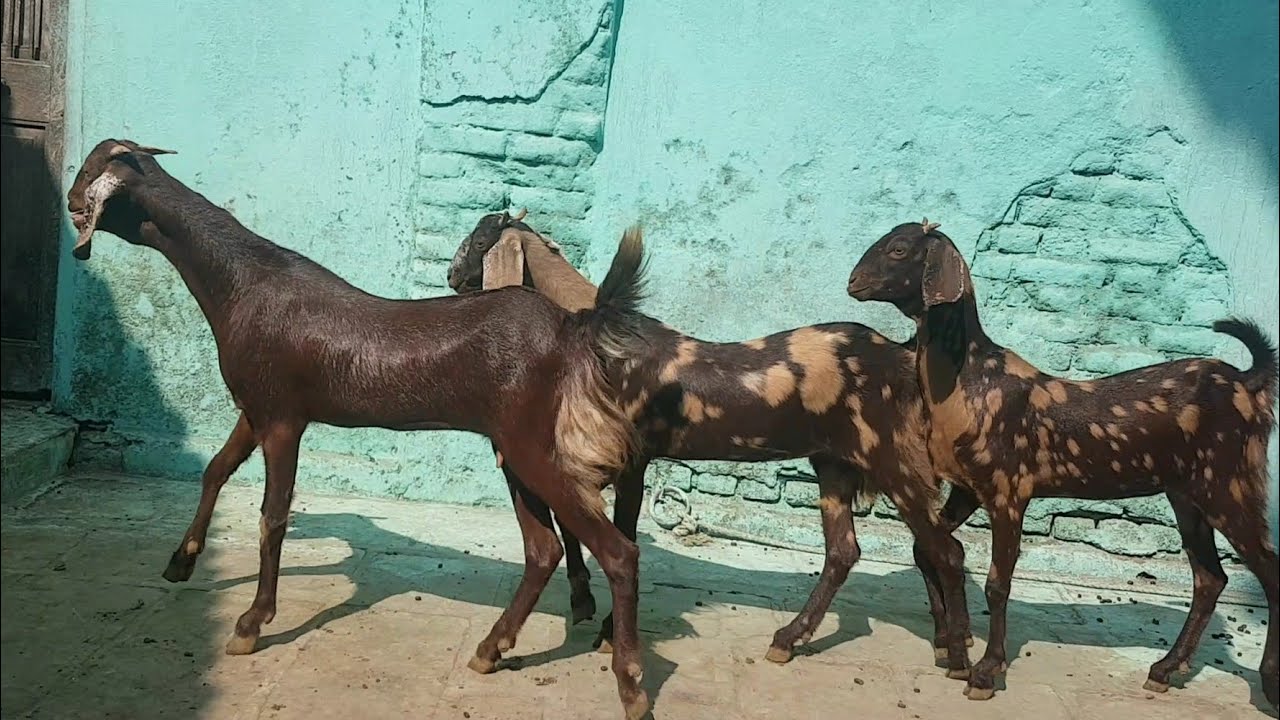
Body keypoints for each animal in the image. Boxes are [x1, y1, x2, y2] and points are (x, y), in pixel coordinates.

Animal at [66, 140, 653, 719]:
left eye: (91, 172)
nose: (70, 202)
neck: (243, 284)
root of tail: (572, 329)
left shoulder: (283, 419)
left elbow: (272, 516)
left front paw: (253, 622)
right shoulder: (254, 409)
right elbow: (214, 470)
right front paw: (181, 561)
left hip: (534, 446)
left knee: (617, 552)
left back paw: (631, 687)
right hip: (515, 450)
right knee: (544, 549)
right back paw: (491, 649)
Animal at [447, 211, 980, 676]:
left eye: (479, 240)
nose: (452, 276)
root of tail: (902, 357)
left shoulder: (630, 460)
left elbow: (619, 531)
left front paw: (605, 629)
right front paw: (585, 605)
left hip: (893, 461)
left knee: (946, 550)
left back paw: (958, 658)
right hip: (834, 463)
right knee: (846, 552)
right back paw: (792, 640)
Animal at [848, 220, 1279, 706]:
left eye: (900, 249)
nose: (854, 282)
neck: (969, 382)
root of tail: (1249, 382)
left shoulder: (1008, 490)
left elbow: (998, 583)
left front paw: (985, 672)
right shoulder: (967, 487)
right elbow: (929, 549)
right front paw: (949, 646)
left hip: (1230, 486)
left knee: (1269, 574)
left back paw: (1267, 681)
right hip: (1188, 496)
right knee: (1210, 579)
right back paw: (1166, 669)